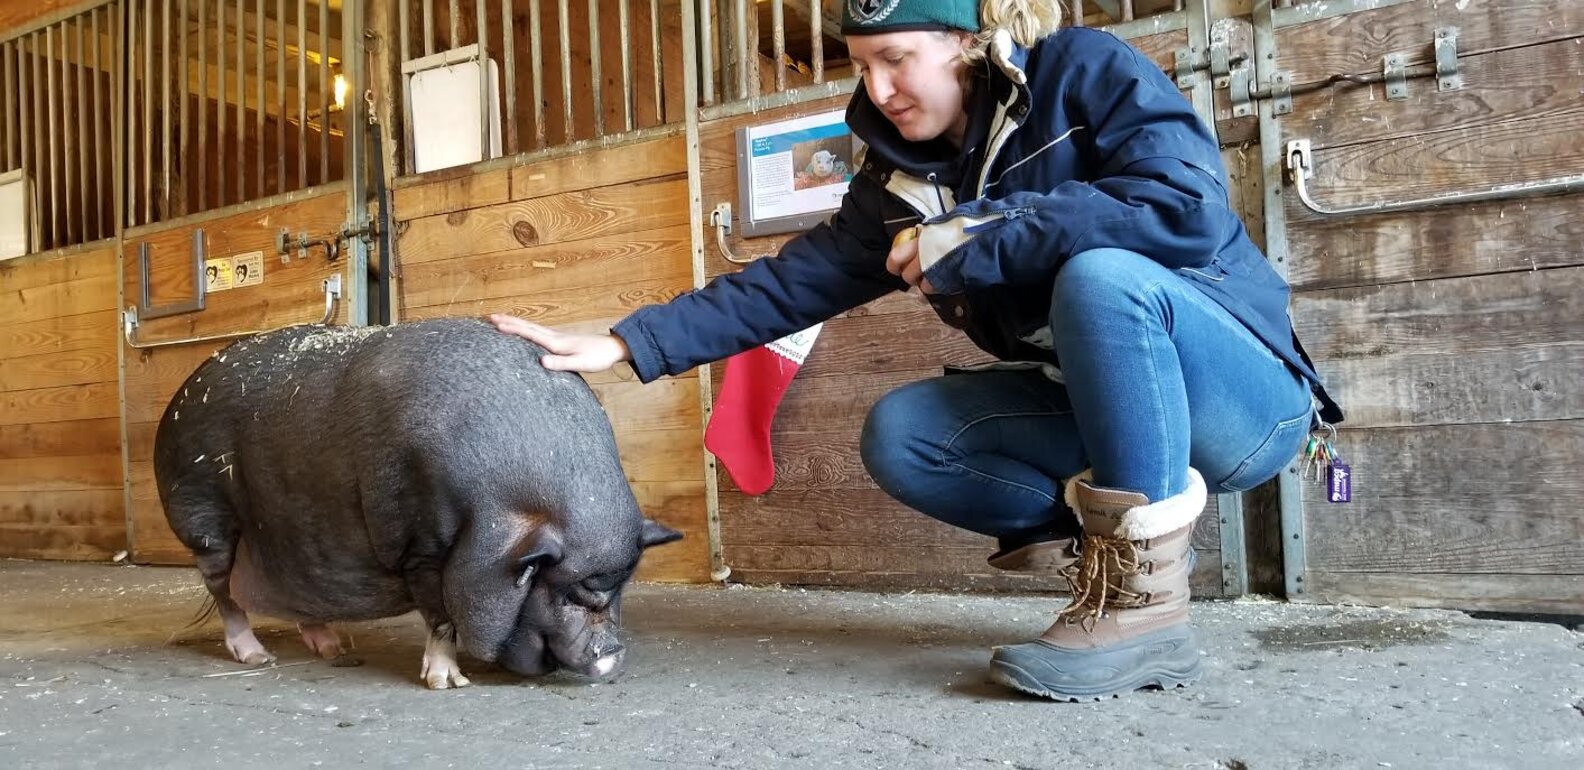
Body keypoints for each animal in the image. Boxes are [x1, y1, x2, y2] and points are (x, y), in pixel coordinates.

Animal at [153, 317, 681, 688]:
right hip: (204, 520)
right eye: (570, 591)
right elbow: (440, 615)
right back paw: (259, 657)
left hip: (286, 535)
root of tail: (180, 394)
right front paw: (448, 682)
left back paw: (333, 649)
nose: (613, 655)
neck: (495, 515)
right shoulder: (421, 546)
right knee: (223, 591)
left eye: (619, 586)